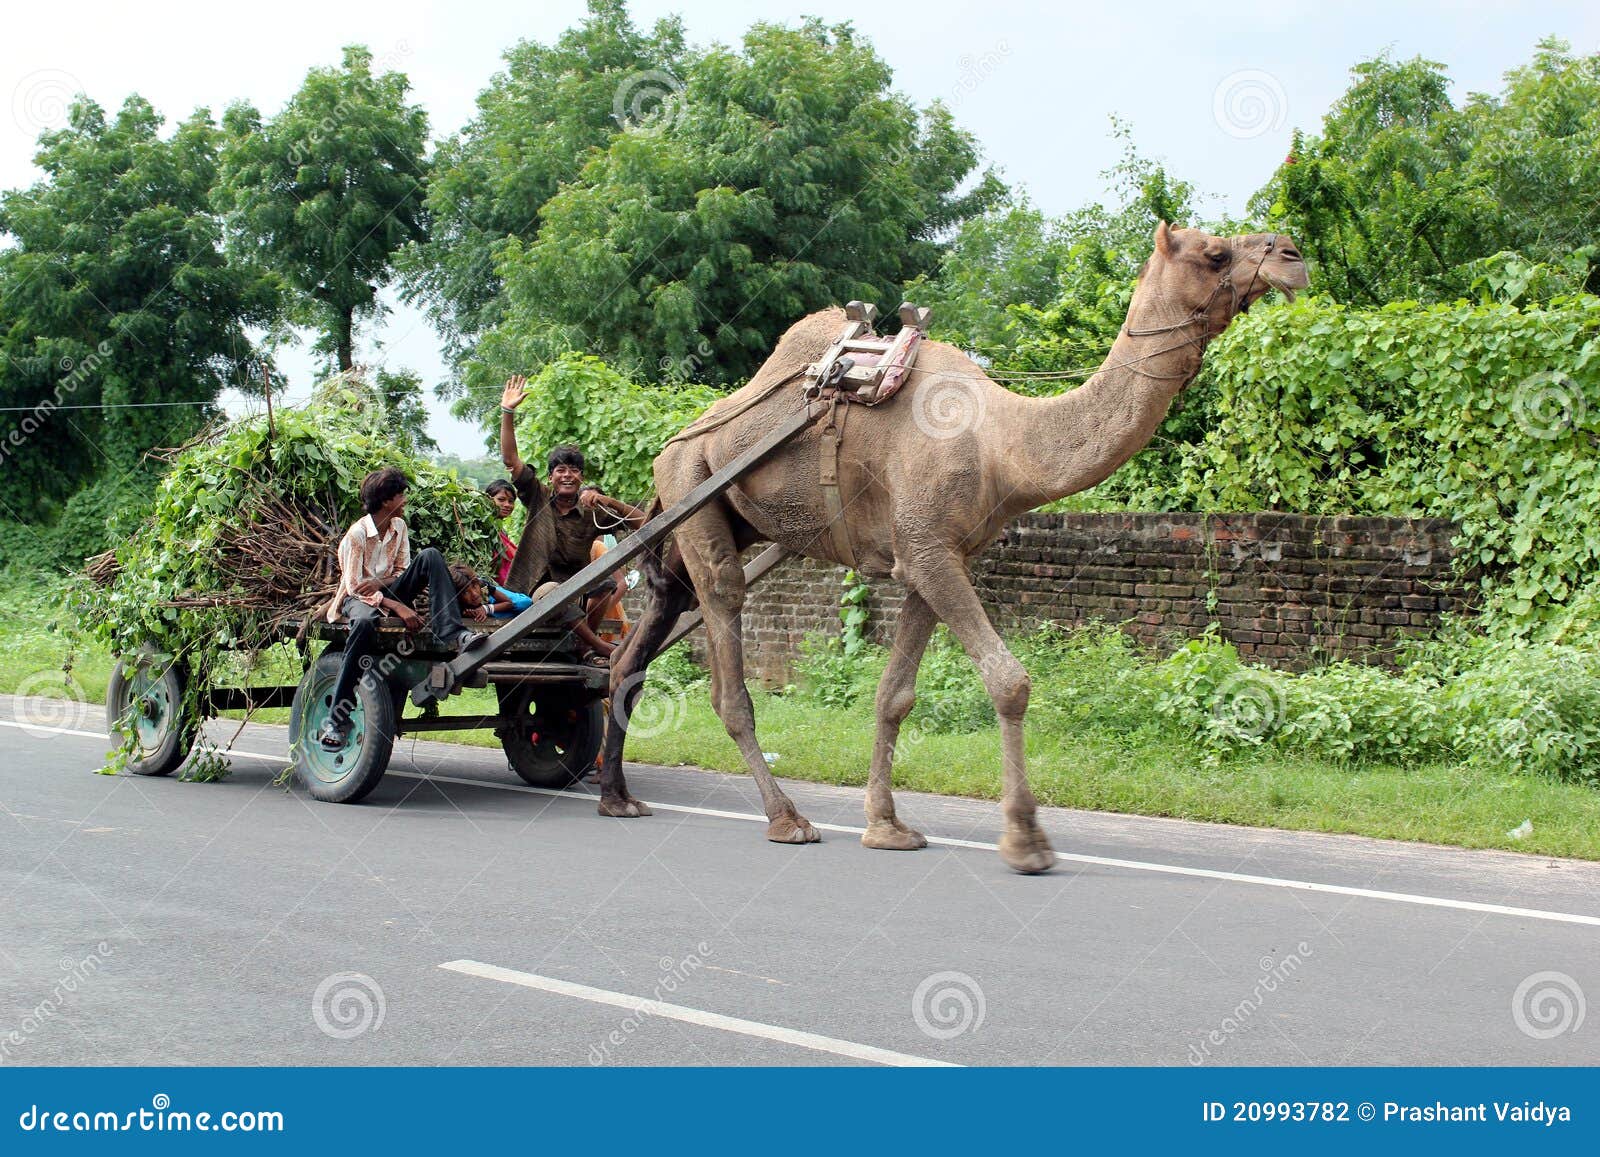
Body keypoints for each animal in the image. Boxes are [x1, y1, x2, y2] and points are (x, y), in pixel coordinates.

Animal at [594, 222, 1308, 873]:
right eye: (1214, 252)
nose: (1293, 256)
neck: (1003, 443)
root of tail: (671, 445)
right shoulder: (929, 550)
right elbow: (1009, 681)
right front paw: (1025, 840)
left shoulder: (932, 559)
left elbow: (894, 696)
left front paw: (886, 827)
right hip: (692, 487)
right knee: (727, 654)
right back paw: (786, 818)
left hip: (702, 521)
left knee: (634, 650)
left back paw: (617, 796)